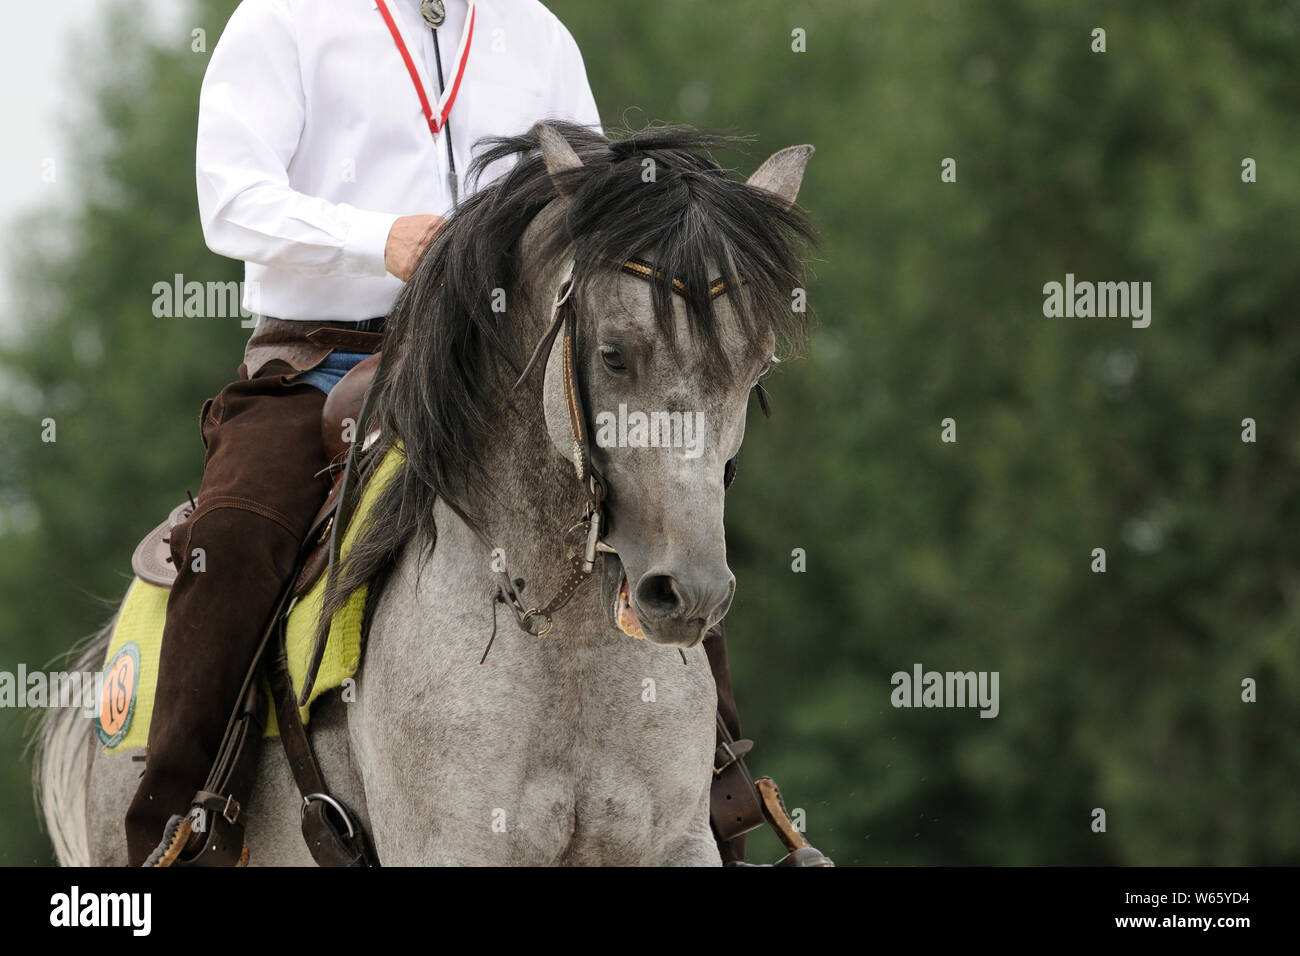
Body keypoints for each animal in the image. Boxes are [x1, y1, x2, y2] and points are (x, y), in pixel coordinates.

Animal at [35, 122, 816, 865]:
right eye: (613, 354)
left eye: (757, 367)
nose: (690, 596)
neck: (560, 640)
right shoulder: (449, 846)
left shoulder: (673, 844)